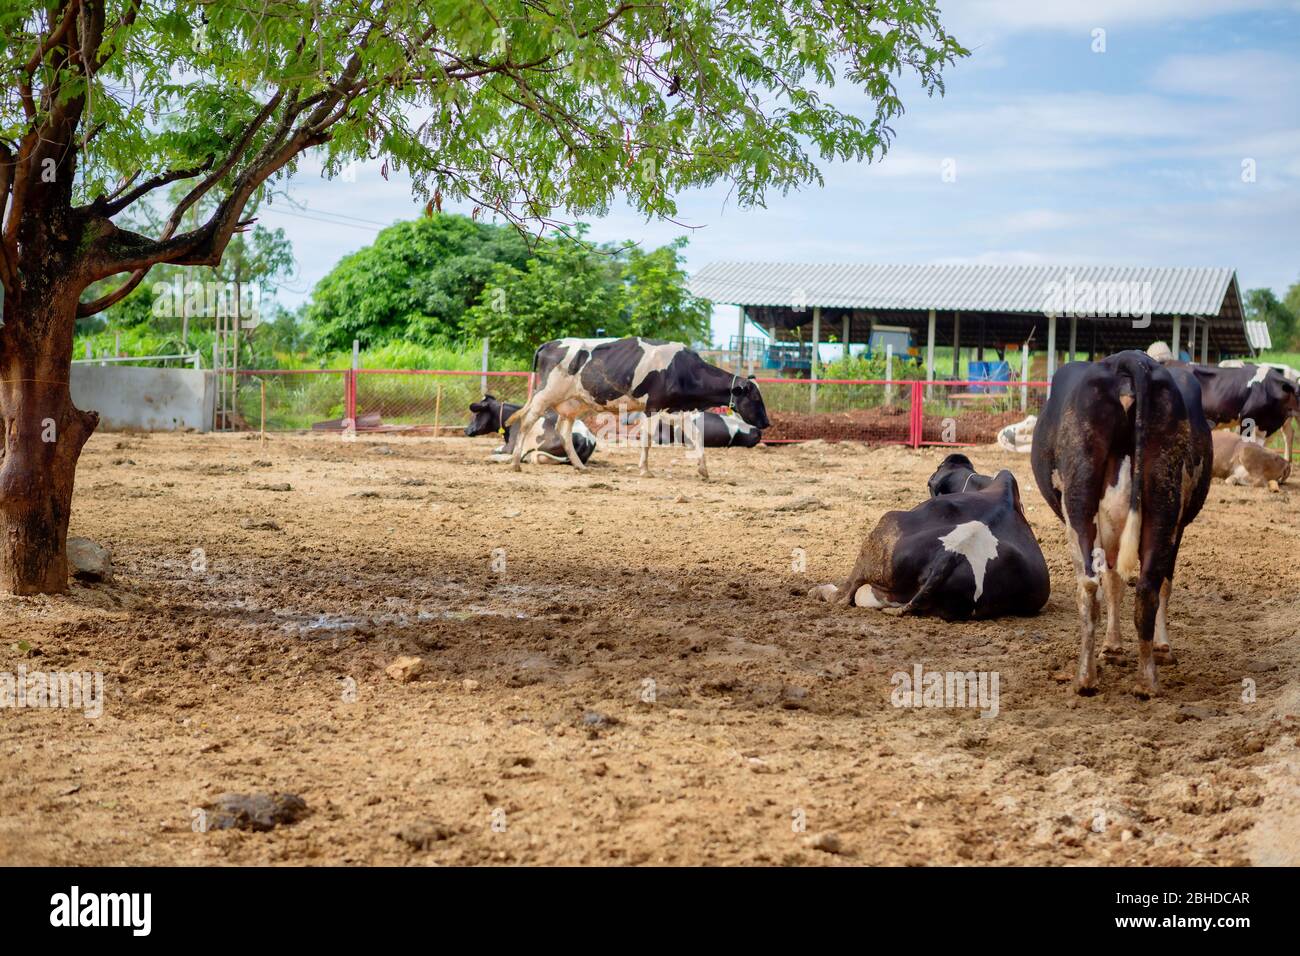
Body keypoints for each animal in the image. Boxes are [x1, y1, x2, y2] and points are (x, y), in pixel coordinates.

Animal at [507, 337, 770, 478]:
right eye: (756, 398)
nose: (767, 423)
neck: (682, 369)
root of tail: (550, 343)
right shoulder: (652, 407)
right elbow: (647, 440)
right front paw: (644, 469)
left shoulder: (676, 410)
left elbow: (696, 437)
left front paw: (703, 470)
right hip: (545, 394)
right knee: (528, 420)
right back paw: (515, 462)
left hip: (574, 403)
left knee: (563, 430)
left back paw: (580, 466)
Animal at [1031, 352, 1212, 697]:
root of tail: (1131, 360)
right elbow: (1123, 582)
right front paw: (1137, 648)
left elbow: (1113, 582)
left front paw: (1115, 647)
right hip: (1161, 499)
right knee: (1146, 586)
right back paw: (1145, 682)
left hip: (1080, 500)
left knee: (1091, 586)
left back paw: (1086, 679)